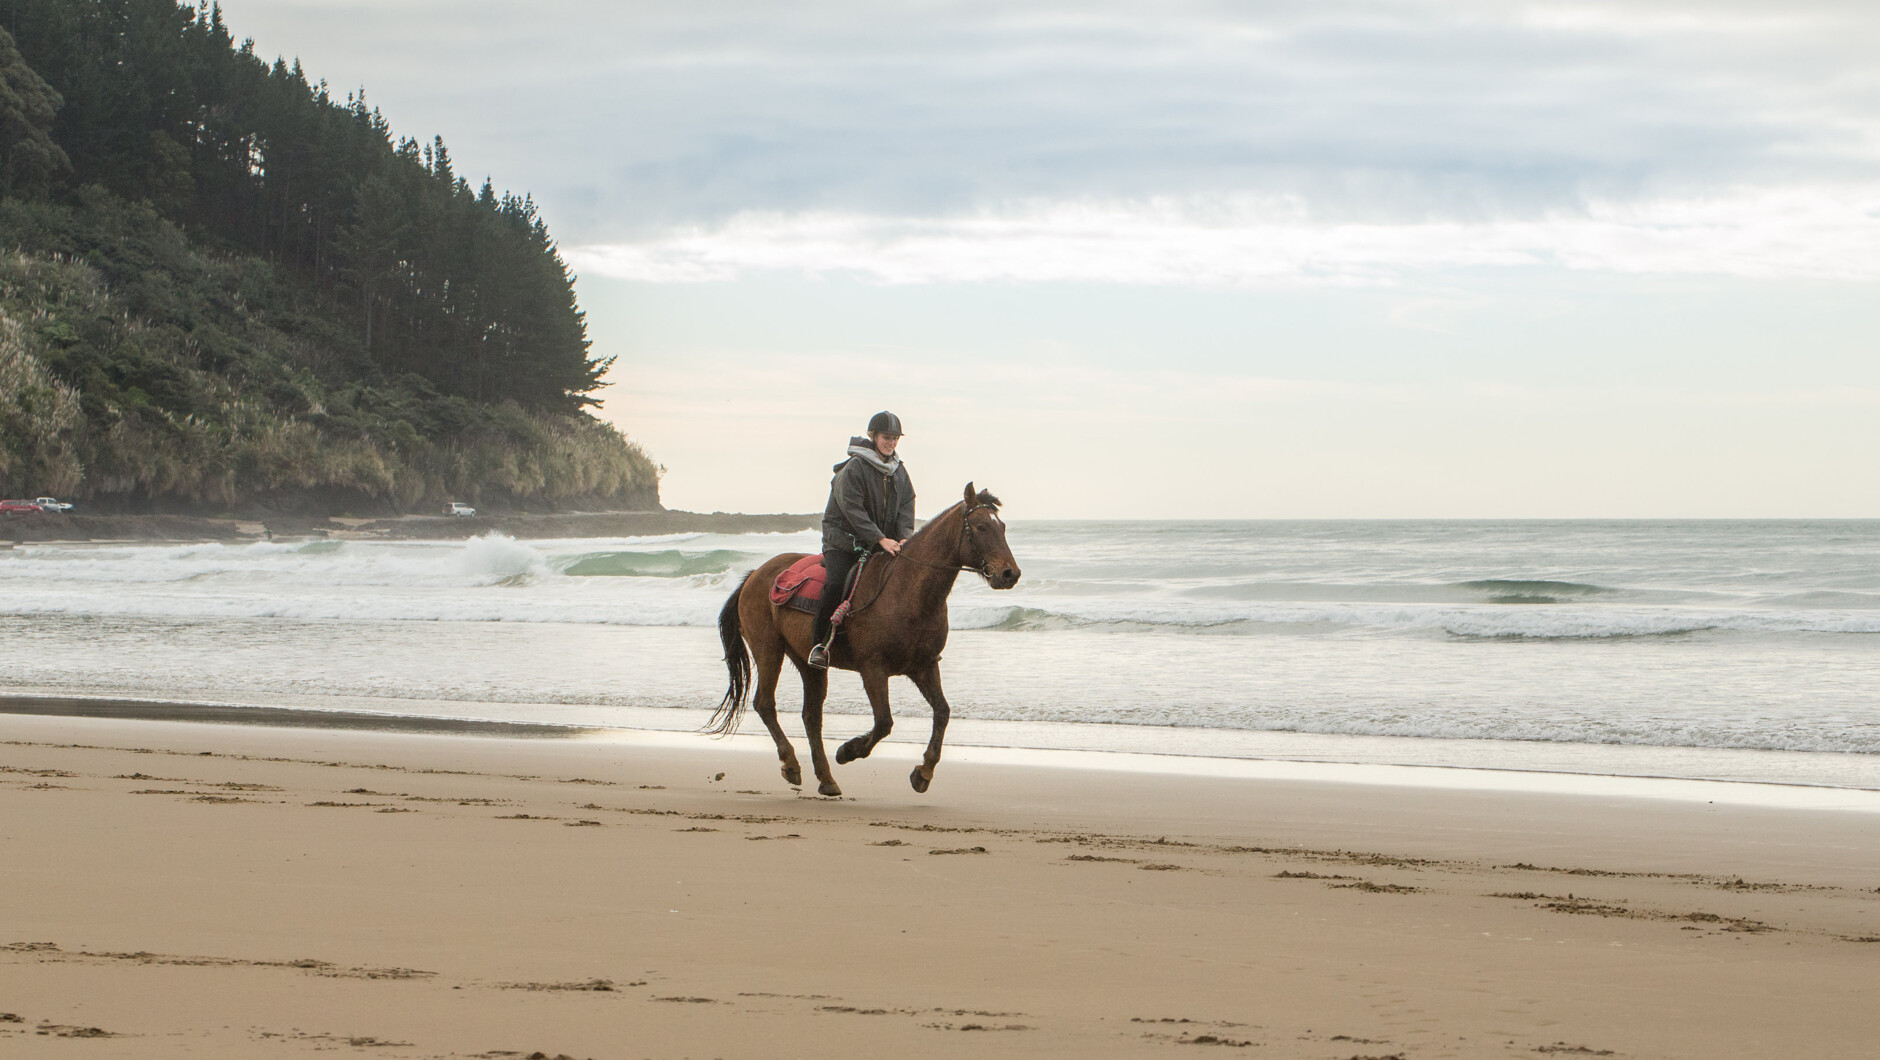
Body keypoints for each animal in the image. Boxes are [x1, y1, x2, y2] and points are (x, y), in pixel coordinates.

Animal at [708, 482, 1021, 796]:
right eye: (980, 526)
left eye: (1003, 527)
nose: (1010, 574)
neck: (907, 590)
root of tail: (754, 575)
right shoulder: (873, 669)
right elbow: (884, 722)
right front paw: (849, 750)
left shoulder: (925, 665)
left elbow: (942, 712)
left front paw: (923, 772)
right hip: (768, 649)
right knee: (765, 704)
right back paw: (792, 763)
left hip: (808, 663)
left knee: (811, 716)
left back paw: (826, 778)